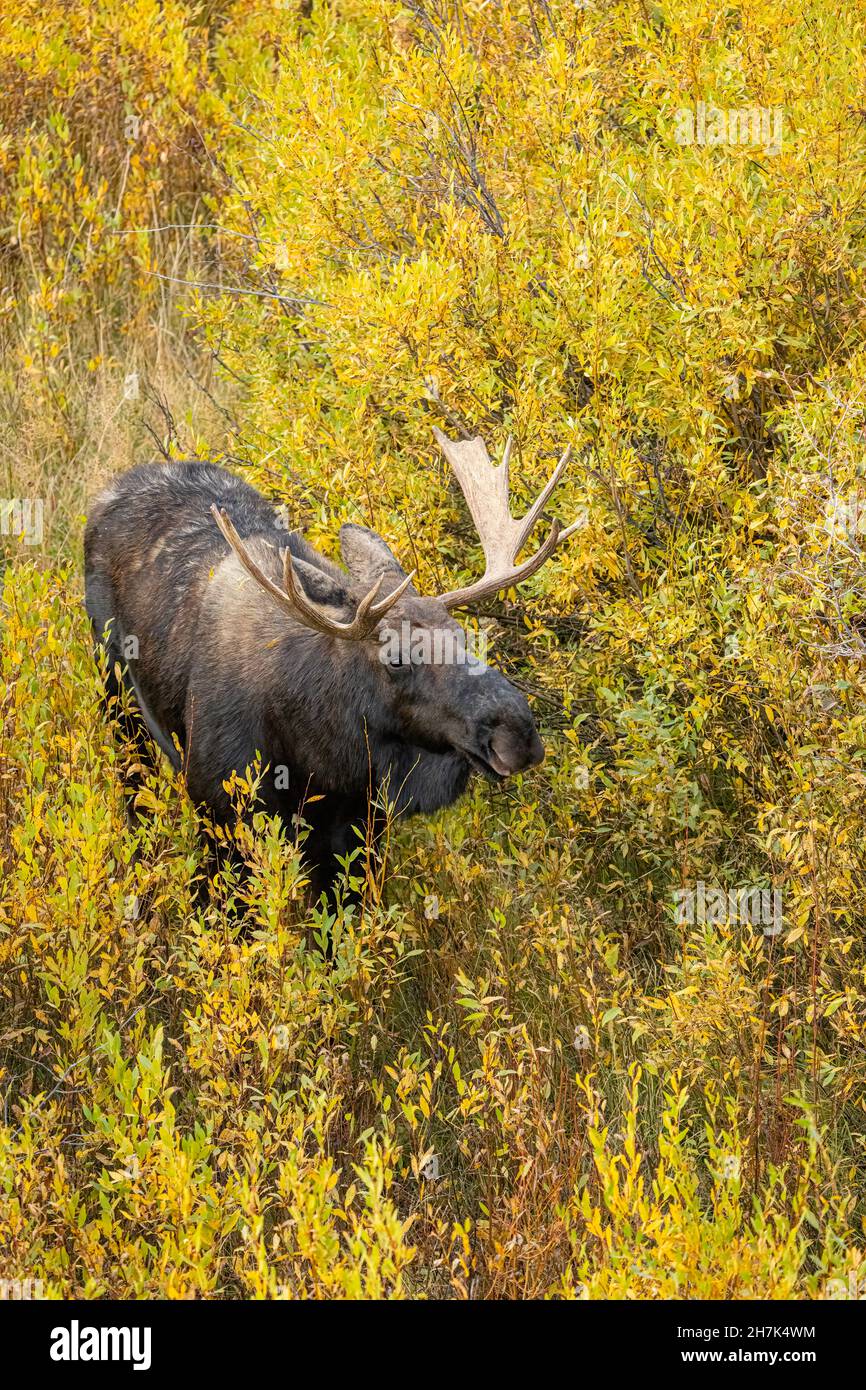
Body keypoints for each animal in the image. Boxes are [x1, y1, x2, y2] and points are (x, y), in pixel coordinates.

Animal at [84, 428, 580, 912]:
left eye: (461, 634)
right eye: (396, 657)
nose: (518, 732)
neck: (318, 754)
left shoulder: (357, 830)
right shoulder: (222, 812)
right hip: (119, 704)